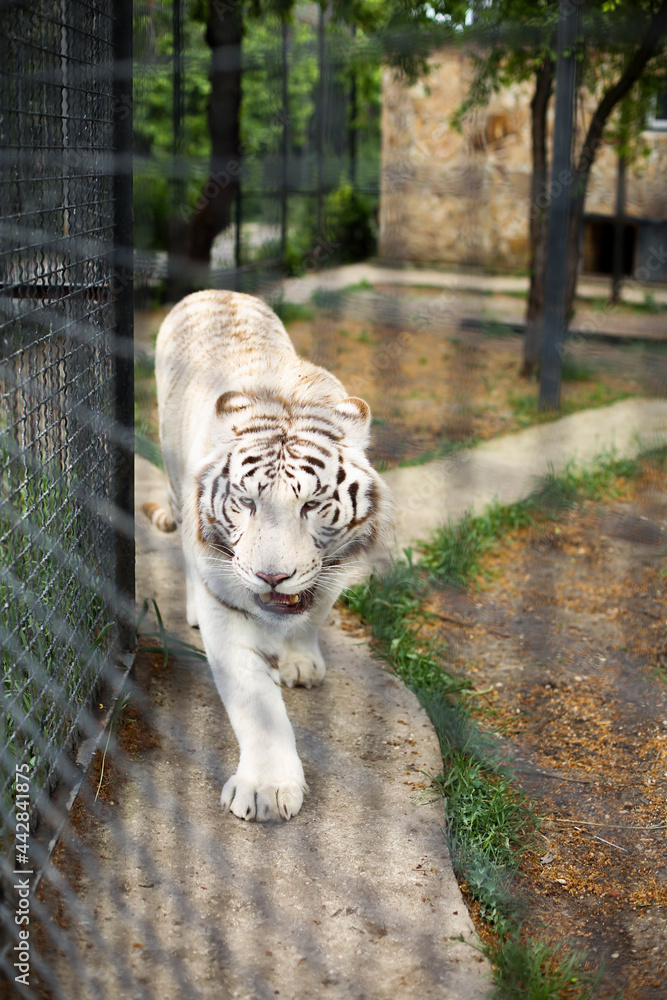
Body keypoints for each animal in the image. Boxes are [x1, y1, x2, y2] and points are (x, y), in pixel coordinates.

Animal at [144, 289, 392, 822]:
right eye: (246, 501)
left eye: (312, 505)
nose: (271, 576)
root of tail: (216, 291)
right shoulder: (226, 600)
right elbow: (254, 701)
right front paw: (267, 788)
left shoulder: (333, 570)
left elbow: (311, 614)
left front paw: (301, 662)